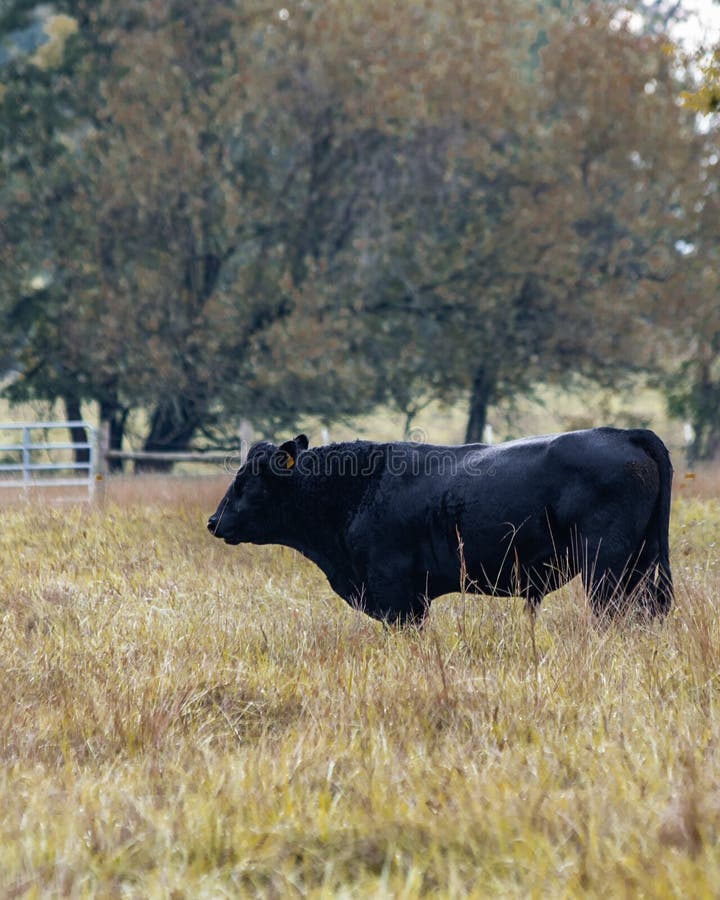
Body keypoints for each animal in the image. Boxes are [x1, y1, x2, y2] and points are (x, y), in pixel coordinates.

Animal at [207, 428, 673, 626]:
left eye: (247, 480)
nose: (213, 521)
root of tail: (623, 432)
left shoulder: (397, 595)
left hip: (606, 568)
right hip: (643, 561)